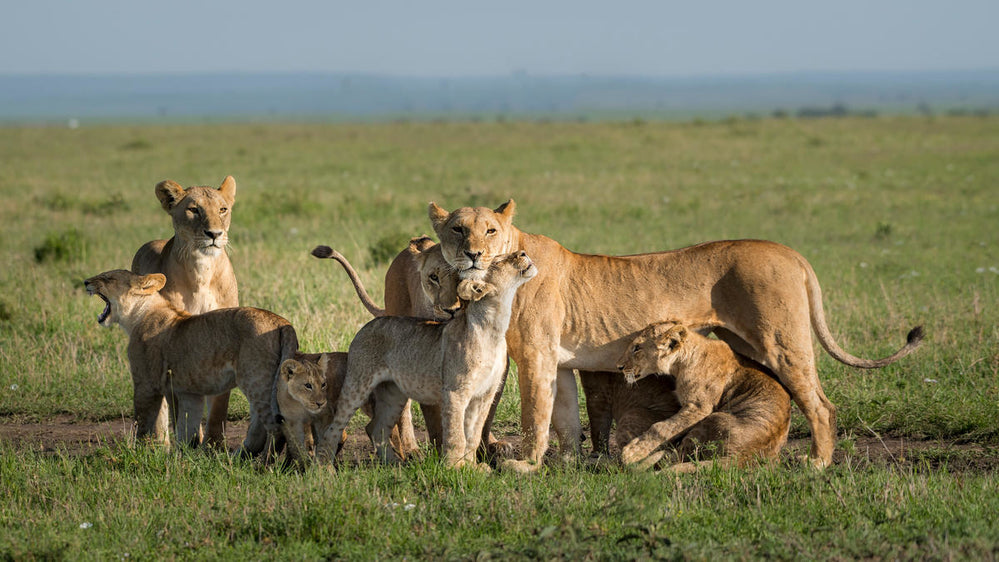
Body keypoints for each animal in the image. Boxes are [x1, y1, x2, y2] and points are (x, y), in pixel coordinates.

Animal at [84, 269, 293, 456]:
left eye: (107, 277)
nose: (86, 282)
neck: (138, 315)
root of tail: (283, 323)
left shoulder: (147, 384)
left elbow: (142, 423)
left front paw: (138, 454)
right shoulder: (188, 392)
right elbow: (188, 427)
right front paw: (185, 457)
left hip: (256, 380)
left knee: (276, 427)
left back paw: (263, 464)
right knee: (260, 424)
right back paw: (240, 457)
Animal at [131, 176, 239, 448]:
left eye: (223, 209)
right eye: (194, 210)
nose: (214, 234)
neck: (202, 269)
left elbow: (219, 403)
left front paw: (214, 444)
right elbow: (183, 403)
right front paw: (192, 441)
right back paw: (160, 442)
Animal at [316, 252, 538, 469]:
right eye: (499, 260)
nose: (523, 253)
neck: (495, 326)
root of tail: (368, 324)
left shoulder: (484, 394)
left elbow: (472, 435)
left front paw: (473, 467)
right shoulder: (455, 392)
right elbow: (456, 435)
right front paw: (454, 468)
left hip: (393, 393)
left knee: (375, 428)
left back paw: (395, 463)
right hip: (357, 385)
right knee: (334, 427)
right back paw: (325, 467)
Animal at [616, 321, 792, 472]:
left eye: (637, 348)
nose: (619, 366)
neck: (681, 363)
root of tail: (741, 458)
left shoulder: (698, 407)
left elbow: (663, 427)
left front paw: (632, 452)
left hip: (713, 419)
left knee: (676, 458)